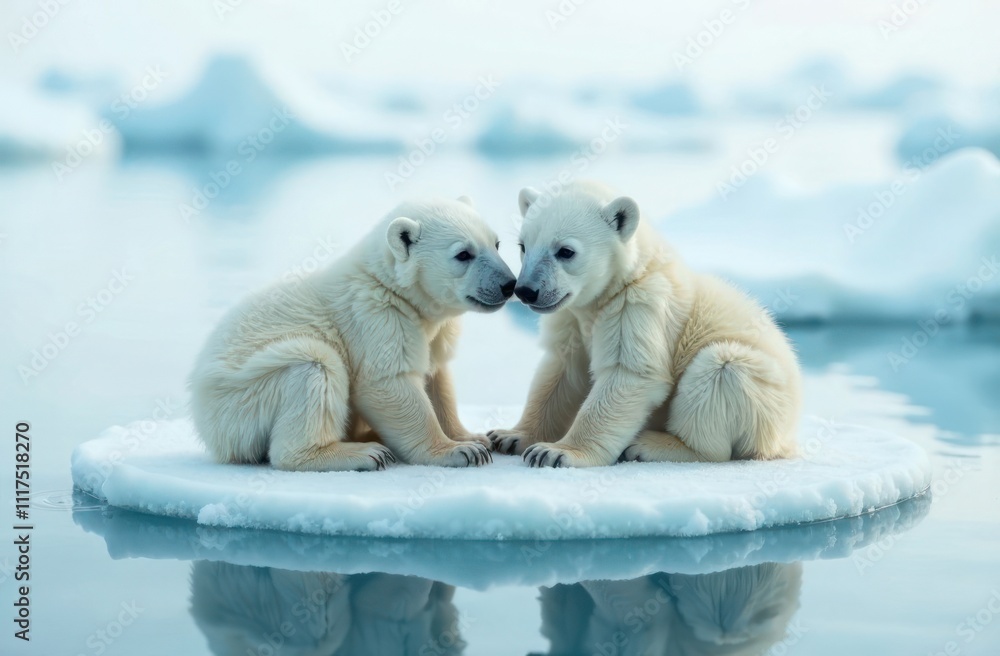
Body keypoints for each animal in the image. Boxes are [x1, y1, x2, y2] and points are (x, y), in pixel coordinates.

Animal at [190, 196, 516, 471]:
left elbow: (437, 377)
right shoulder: (375, 317)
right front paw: (458, 452)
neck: (389, 284)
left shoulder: (433, 330)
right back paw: (363, 452)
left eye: (496, 243)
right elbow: (387, 382)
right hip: (243, 399)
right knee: (314, 369)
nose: (508, 284)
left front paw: (473, 437)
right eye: (463, 254)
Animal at [488, 181, 801, 467]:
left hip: (767, 403)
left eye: (565, 251)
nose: (526, 290)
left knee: (722, 369)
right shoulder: (571, 315)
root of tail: (788, 438)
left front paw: (555, 452)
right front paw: (510, 436)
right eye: (523, 246)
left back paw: (653, 444)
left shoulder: (640, 306)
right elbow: (561, 372)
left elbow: (629, 374)